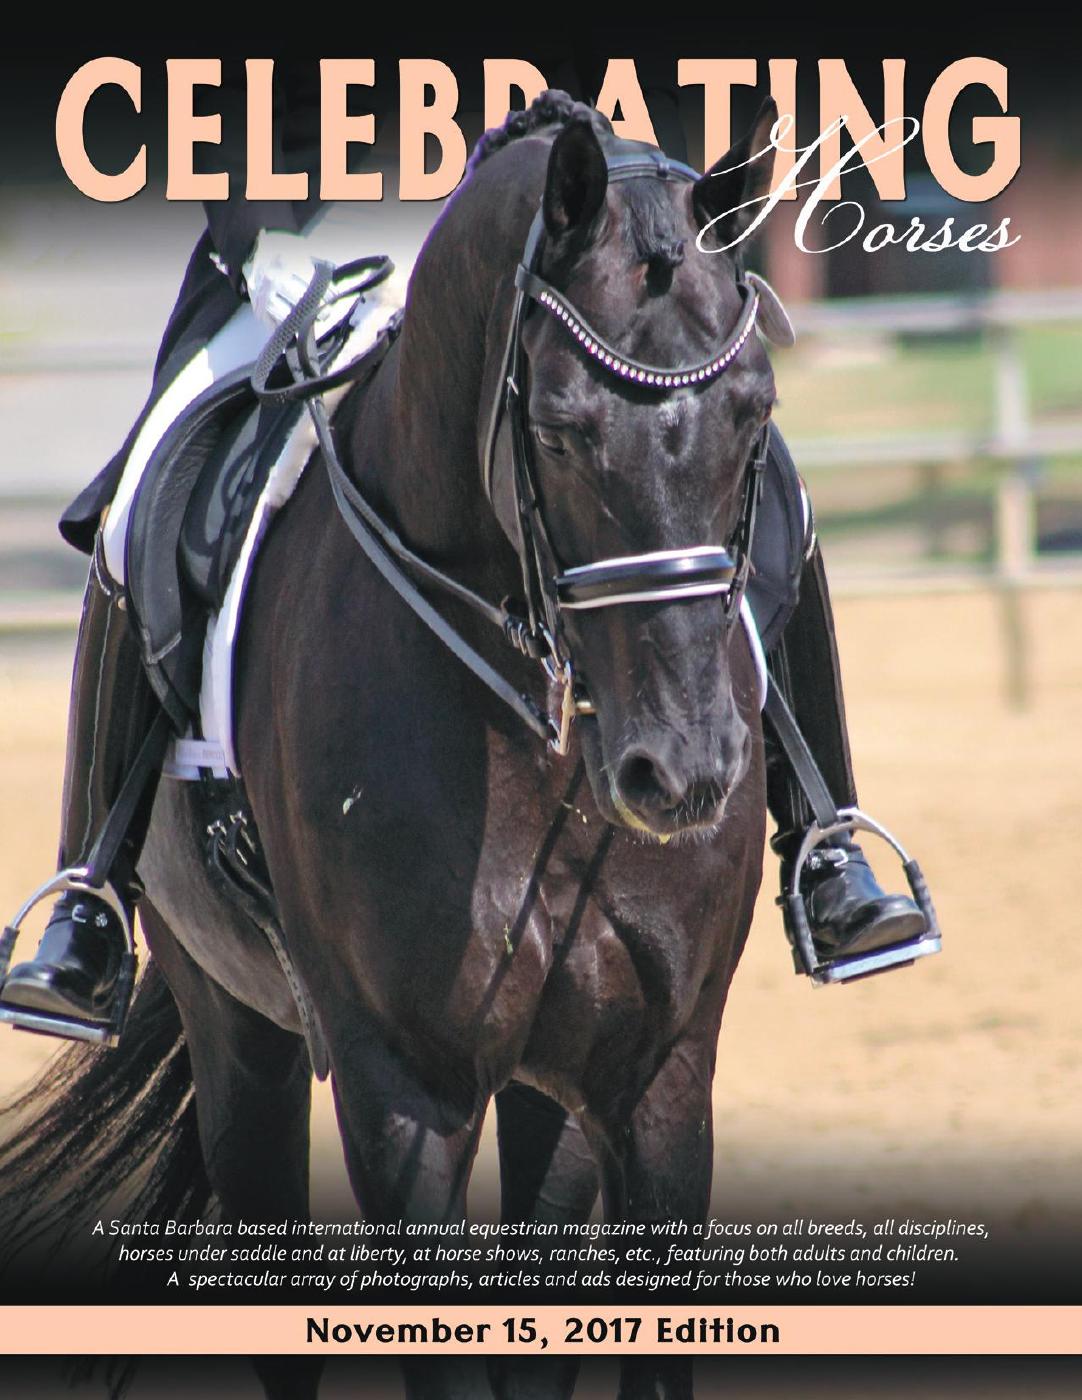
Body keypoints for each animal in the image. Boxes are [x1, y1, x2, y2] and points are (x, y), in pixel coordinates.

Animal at [0, 91, 781, 1399]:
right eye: (558, 430)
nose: (679, 773)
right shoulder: (403, 1092)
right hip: (241, 1035)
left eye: (754, 411)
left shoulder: (654, 1075)